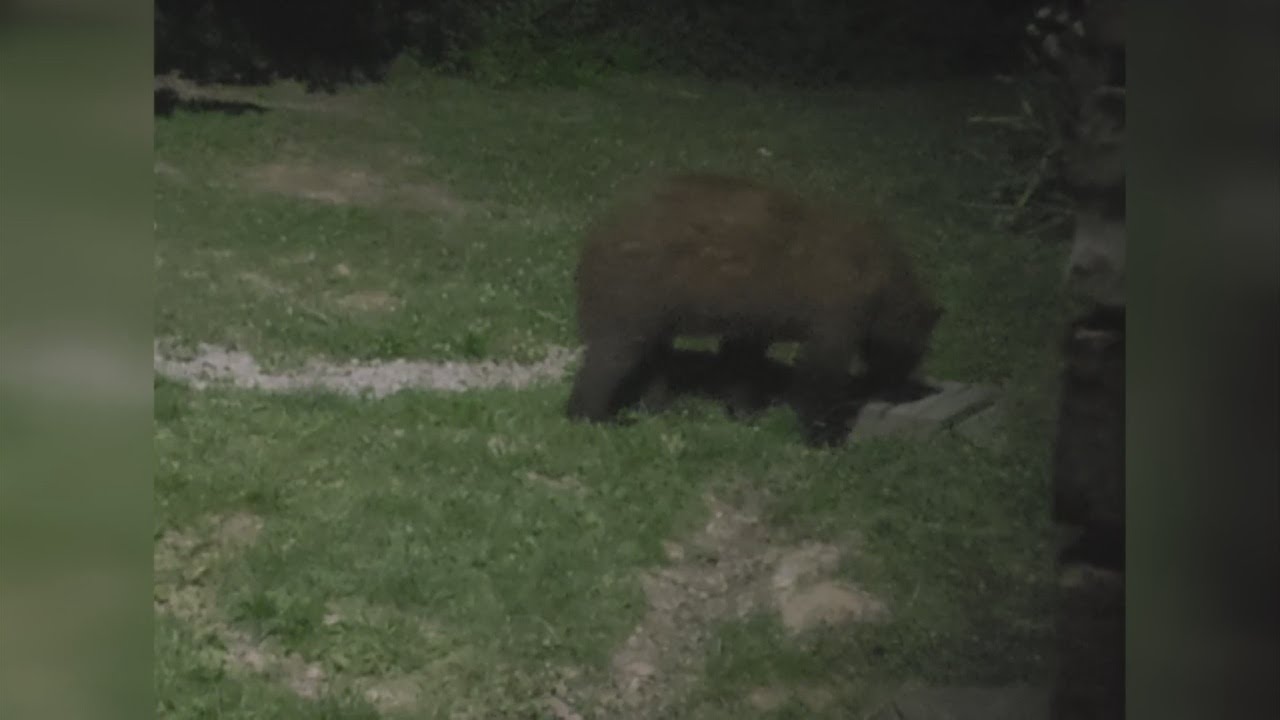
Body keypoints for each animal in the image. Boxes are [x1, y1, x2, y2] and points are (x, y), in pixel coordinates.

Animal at [565, 172, 942, 447]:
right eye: (914, 354)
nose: (897, 389)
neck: (884, 278)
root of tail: (592, 243)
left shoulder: (753, 312)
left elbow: (742, 358)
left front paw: (745, 411)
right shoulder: (837, 307)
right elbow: (819, 370)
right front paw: (824, 435)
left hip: (656, 310)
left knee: (653, 359)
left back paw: (660, 406)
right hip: (633, 295)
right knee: (611, 358)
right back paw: (591, 415)